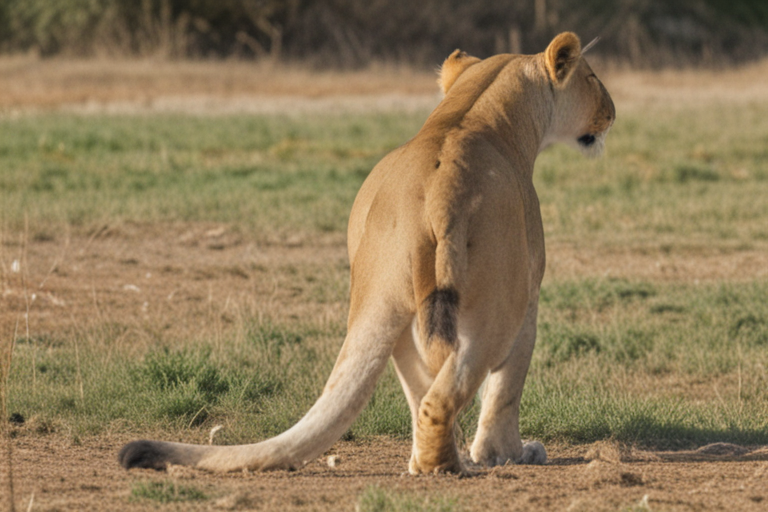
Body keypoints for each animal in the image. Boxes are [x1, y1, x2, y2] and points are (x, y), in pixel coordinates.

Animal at [119, 32, 615, 475]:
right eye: (592, 77)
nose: (612, 111)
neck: (471, 114)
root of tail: (440, 193)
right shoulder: (530, 292)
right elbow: (506, 388)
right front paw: (507, 453)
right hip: (496, 305)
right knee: (445, 392)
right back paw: (449, 466)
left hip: (382, 302)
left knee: (417, 388)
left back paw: (423, 460)